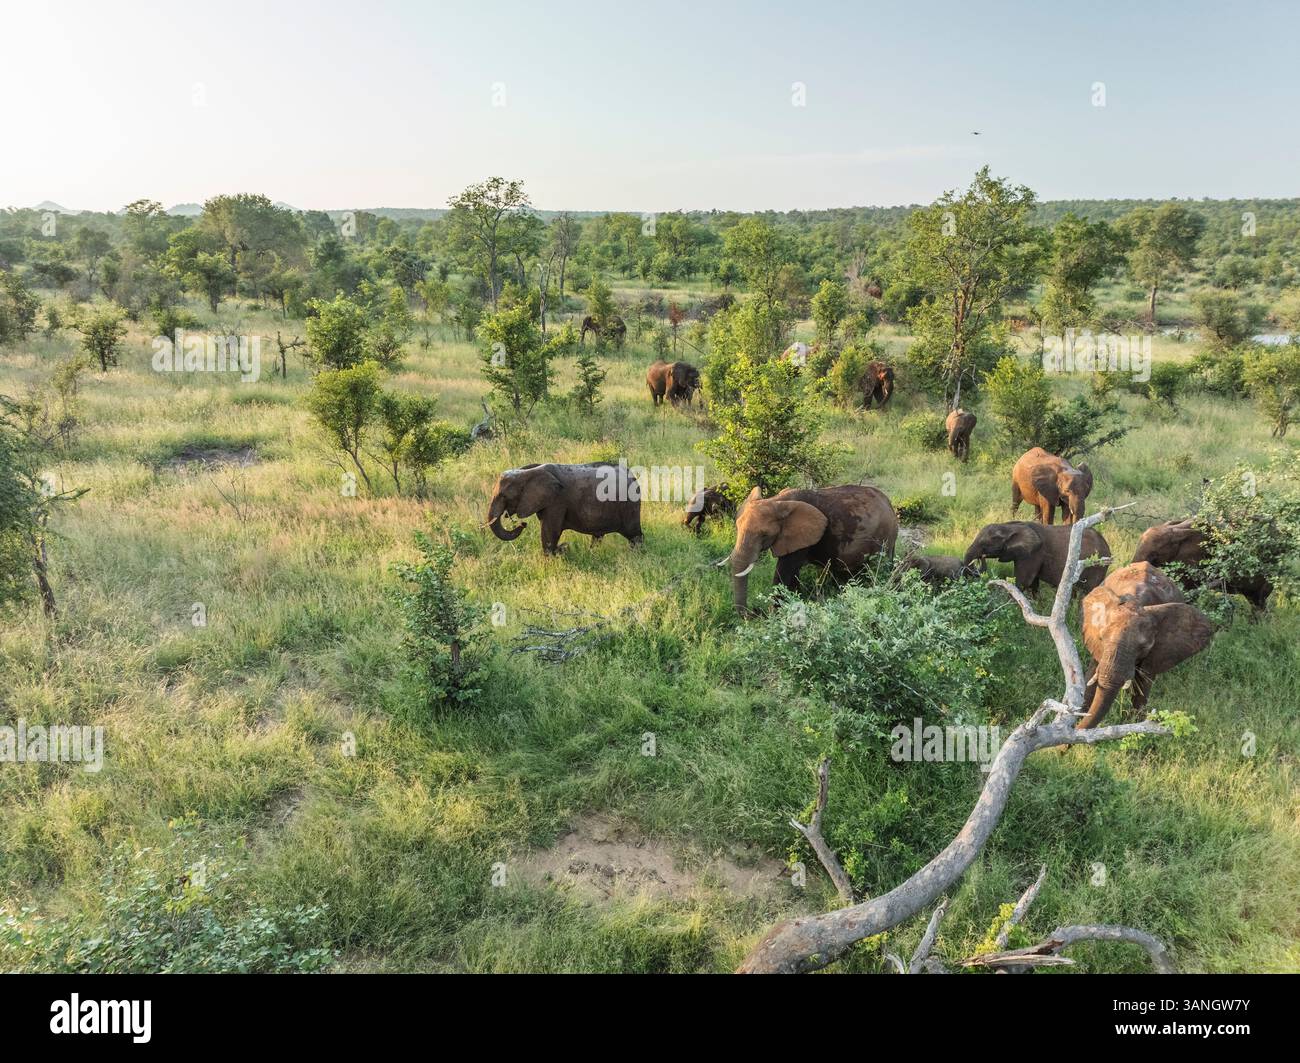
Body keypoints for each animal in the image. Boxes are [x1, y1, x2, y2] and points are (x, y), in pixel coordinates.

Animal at [486, 462, 643, 555]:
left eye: (503, 496)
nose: (523, 524)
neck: (527, 472)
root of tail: (632, 475)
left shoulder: (557, 501)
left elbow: (551, 531)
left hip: (629, 505)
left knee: (634, 535)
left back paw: (636, 556)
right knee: (598, 536)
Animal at [722, 484, 898, 615]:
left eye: (764, 535)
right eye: (737, 527)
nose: (754, 612)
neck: (776, 501)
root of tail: (890, 504)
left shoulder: (802, 537)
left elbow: (784, 572)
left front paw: (775, 615)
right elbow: (792, 574)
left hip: (886, 536)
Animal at [964, 521, 1111, 597]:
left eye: (985, 544)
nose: (980, 558)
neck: (1010, 525)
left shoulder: (1033, 553)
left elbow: (1023, 582)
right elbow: (1032, 583)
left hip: (1097, 566)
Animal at [1077, 562, 1214, 729]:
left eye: (1144, 648)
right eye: (1102, 639)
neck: (1137, 601)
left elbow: (1143, 685)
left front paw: (1135, 725)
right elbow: (1091, 675)